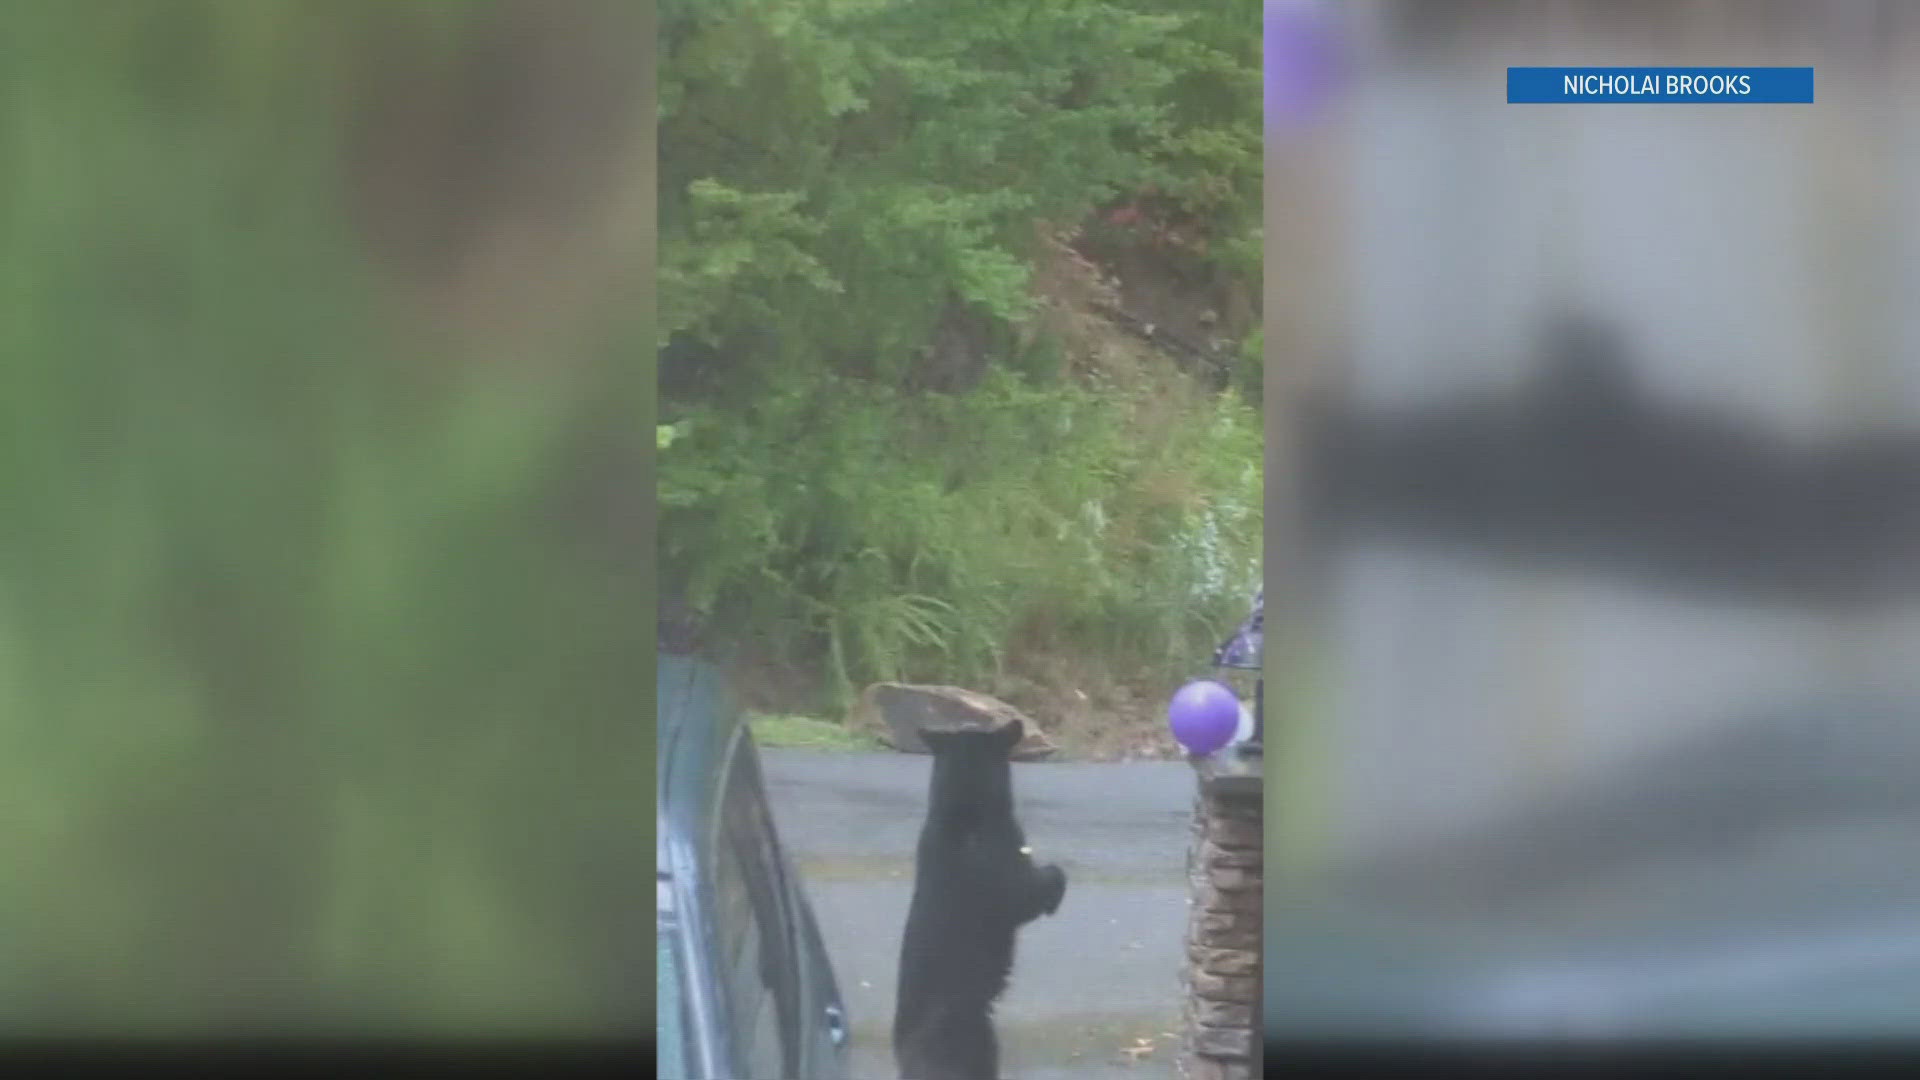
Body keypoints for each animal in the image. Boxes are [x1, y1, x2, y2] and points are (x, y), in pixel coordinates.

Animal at [893, 719, 1068, 1080]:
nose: (1015, 721)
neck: (965, 810)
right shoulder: (1003, 858)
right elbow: (1027, 894)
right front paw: (1054, 889)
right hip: (971, 1034)